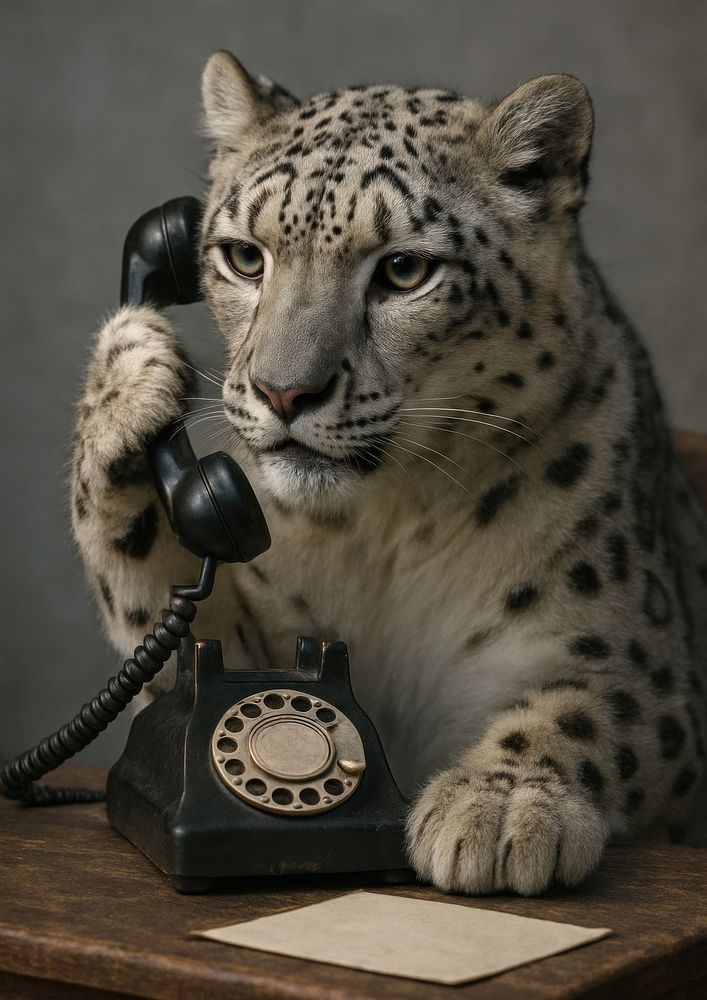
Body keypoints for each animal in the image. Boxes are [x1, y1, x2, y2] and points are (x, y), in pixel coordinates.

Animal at [70, 50, 707, 895]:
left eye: (404, 270)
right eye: (244, 256)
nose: (283, 391)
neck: (389, 523)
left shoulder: (632, 657)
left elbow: (587, 711)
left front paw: (498, 807)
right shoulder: (247, 643)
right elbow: (169, 617)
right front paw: (128, 377)